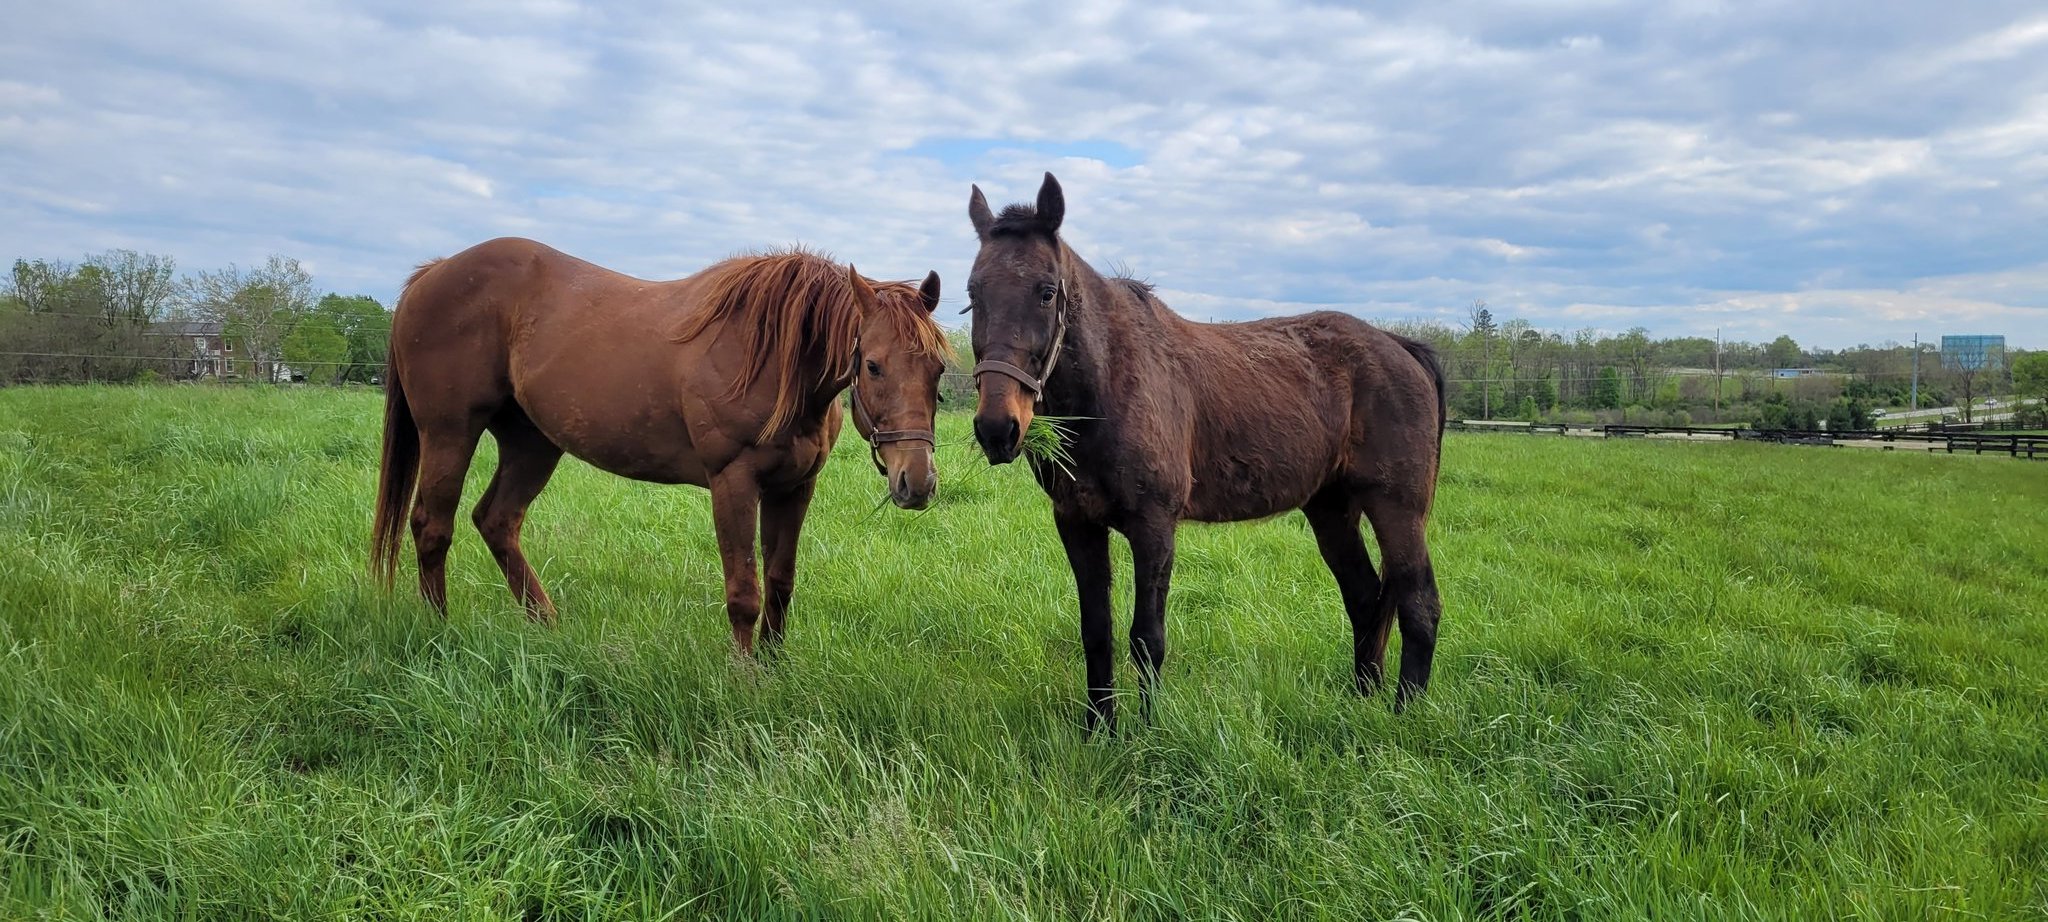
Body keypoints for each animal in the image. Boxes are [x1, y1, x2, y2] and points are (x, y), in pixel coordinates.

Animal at [369, 237, 949, 654]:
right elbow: (744, 592)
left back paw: (548, 626)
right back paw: (441, 632)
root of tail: (432, 274)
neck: (772, 356)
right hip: (449, 433)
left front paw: (775, 667)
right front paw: (746, 683)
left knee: (496, 521)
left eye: (939, 368)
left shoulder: (795, 488)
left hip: (533, 445)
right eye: (872, 365)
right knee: (432, 526)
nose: (916, 482)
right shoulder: (734, 483)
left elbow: (780, 584)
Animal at [963, 174, 1448, 731]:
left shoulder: (1154, 525)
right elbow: (1097, 632)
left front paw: (1147, 734)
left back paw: (1405, 717)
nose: (997, 429)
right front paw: (1099, 729)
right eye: (973, 293)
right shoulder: (1077, 523)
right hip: (1331, 509)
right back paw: (1362, 704)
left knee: (1418, 604)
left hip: (1397, 509)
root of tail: (1401, 347)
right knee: (1366, 600)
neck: (1114, 381)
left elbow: (1147, 639)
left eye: (1046, 292)